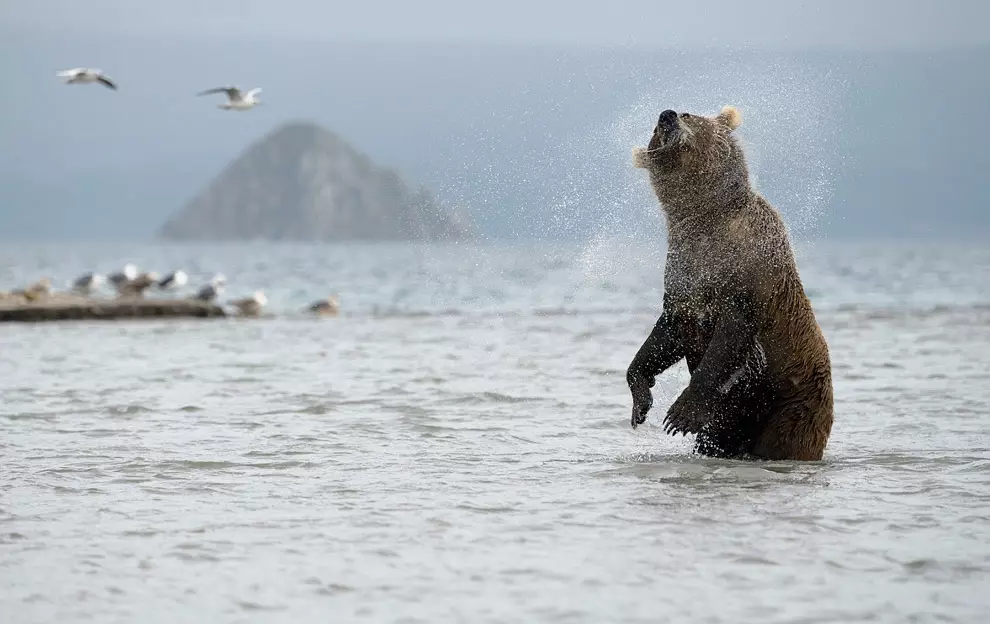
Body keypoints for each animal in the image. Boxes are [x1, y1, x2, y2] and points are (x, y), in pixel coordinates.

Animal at [628, 105, 836, 460]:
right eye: (654, 130)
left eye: (688, 113)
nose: (666, 115)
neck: (706, 220)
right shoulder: (684, 277)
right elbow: (664, 336)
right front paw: (641, 399)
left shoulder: (746, 276)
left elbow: (730, 345)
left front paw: (680, 415)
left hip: (796, 404)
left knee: (785, 437)